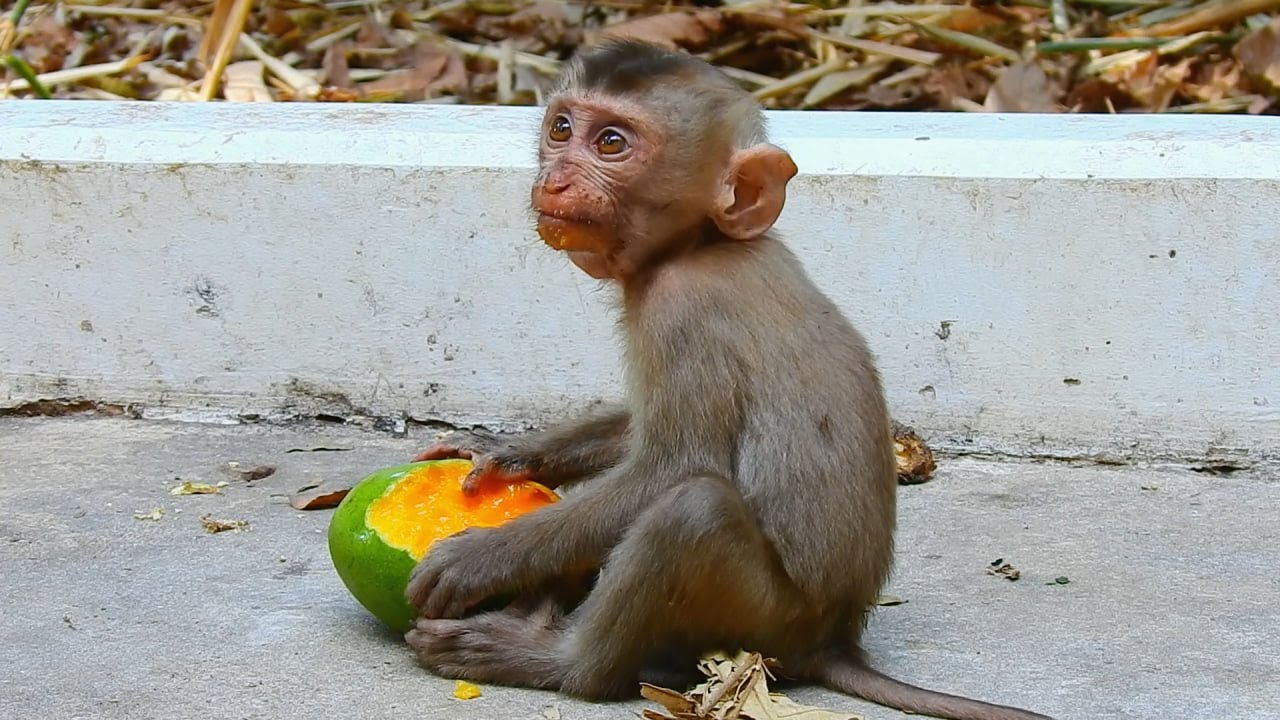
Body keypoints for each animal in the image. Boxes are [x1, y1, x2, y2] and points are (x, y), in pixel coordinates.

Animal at [403, 40, 1054, 720]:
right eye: (560, 129)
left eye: (611, 142)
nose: (553, 179)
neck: (700, 243)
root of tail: (833, 640)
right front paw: (505, 453)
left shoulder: (682, 310)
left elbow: (672, 466)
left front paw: (476, 558)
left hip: (762, 616)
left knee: (693, 511)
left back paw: (558, 662)